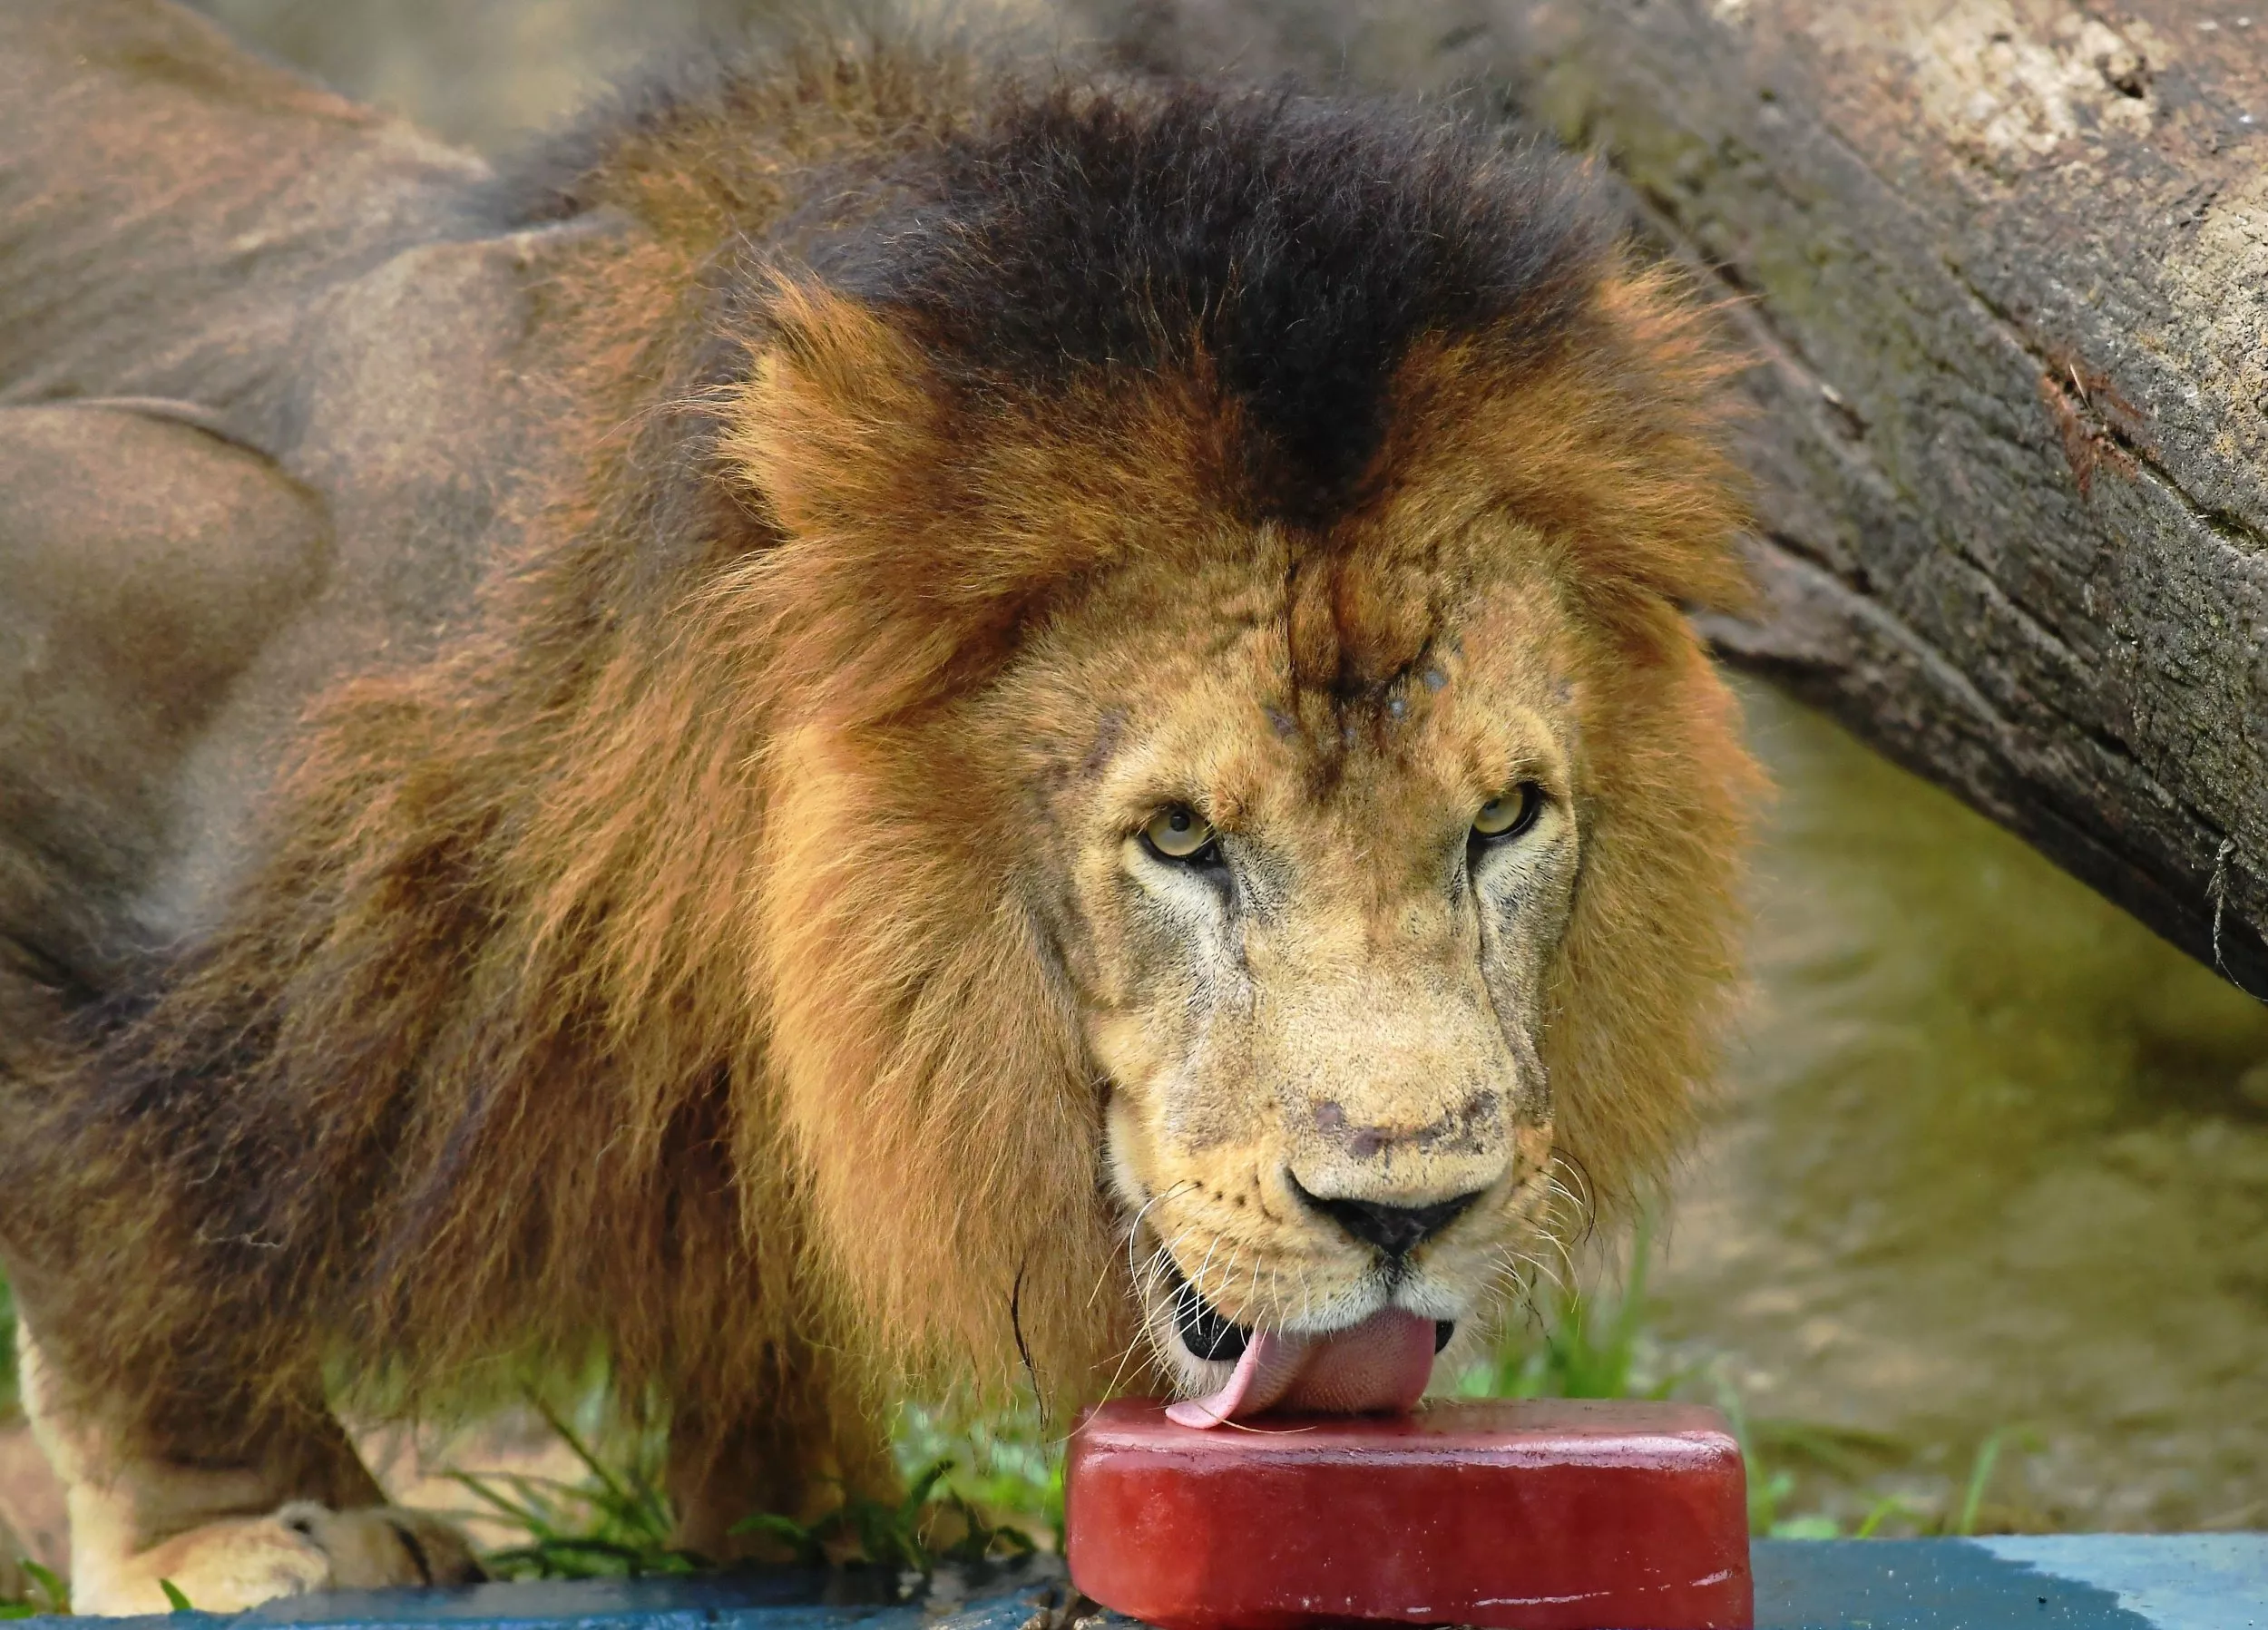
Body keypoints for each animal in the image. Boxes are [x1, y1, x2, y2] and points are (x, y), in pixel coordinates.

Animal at [0, 0, 1757, 1613]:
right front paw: (241, 1530)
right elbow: (124, 1245)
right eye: (1181, 838)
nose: (1411, 1210)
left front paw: (819, 1510)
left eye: (1505, 818)